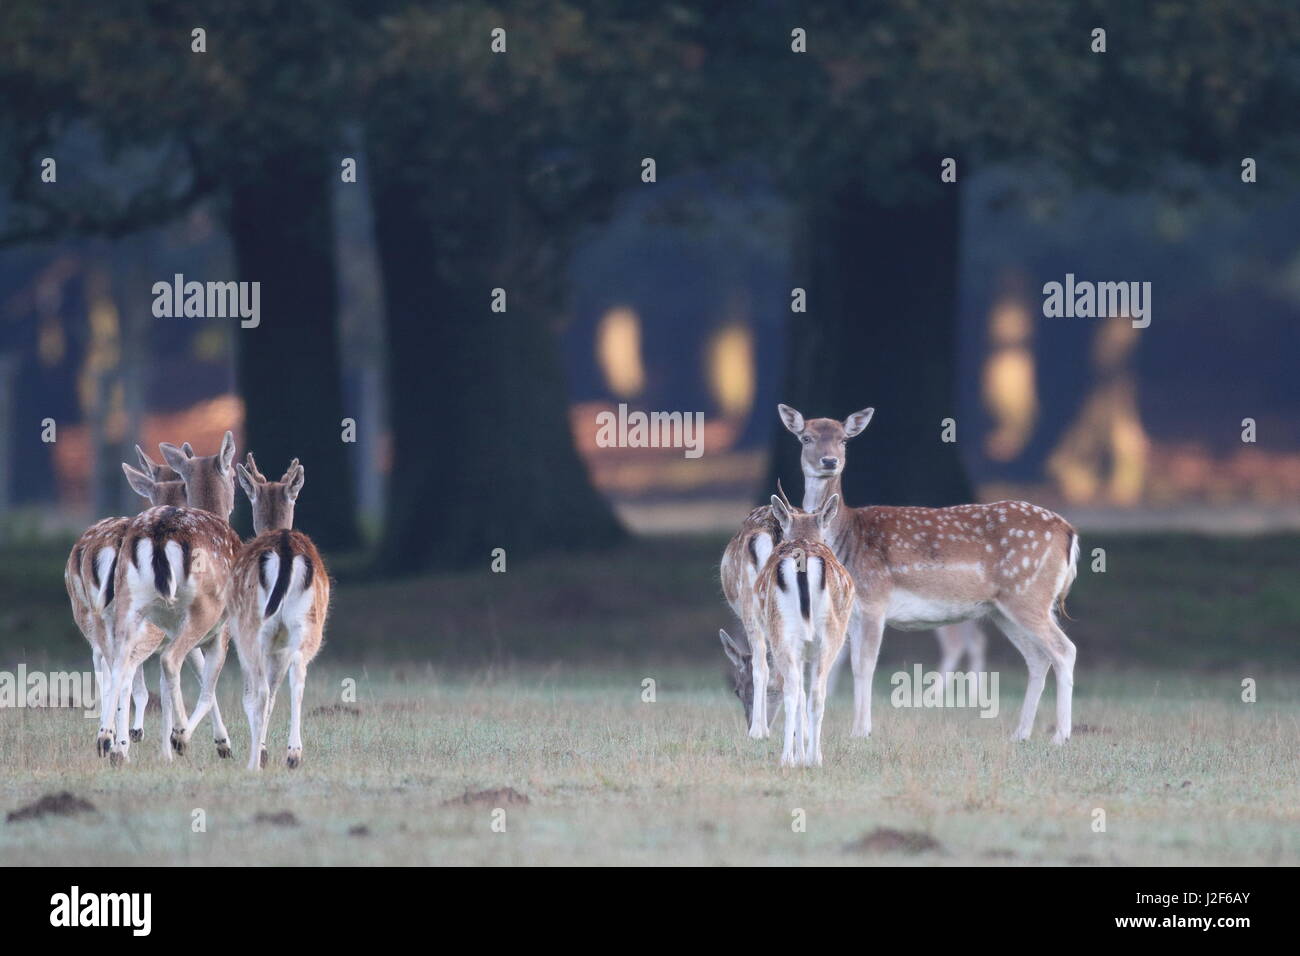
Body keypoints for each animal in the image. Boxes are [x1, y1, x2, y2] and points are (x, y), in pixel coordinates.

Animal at [105, 432, 242, 764]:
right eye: (233, 473)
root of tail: (158, 535)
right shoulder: (221, 631)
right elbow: (207, 689)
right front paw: (213, 743)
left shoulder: (173, 626)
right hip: (204, 607)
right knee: (169, 660)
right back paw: (177, 737)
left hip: (129, 603)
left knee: (119, 663)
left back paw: (110, 743)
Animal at [230, 453, 329, 770]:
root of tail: (285, 549)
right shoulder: (282, 644)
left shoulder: (240, 637)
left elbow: (253, 695)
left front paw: (259, 752)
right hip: (307, 624)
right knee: (298, 672)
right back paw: (294, 753)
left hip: (253, 629)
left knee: (260, 691)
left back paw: (254, 762)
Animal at [748, 494, 854, 767]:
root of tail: (804, 558)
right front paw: (802, 753)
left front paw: (801, 753)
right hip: (824, 636)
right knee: (806, 691)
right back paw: (804, 758)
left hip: (788, 634)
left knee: (801, 690)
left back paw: (799, 758)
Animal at [777, 404, 1079, 744]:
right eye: (806, 437)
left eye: (844, 440)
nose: (830, 461)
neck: (846, 539)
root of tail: (1069, 532)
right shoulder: (852, 612)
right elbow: (850, 663)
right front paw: (859, 728)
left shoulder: (874, 601)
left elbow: (865, 665)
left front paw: (861, 731)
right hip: (1004, 608)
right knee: (1037, 657)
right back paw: (1020, 734)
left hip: (1028, 595)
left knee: (1064, 650)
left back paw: (1060, 736)